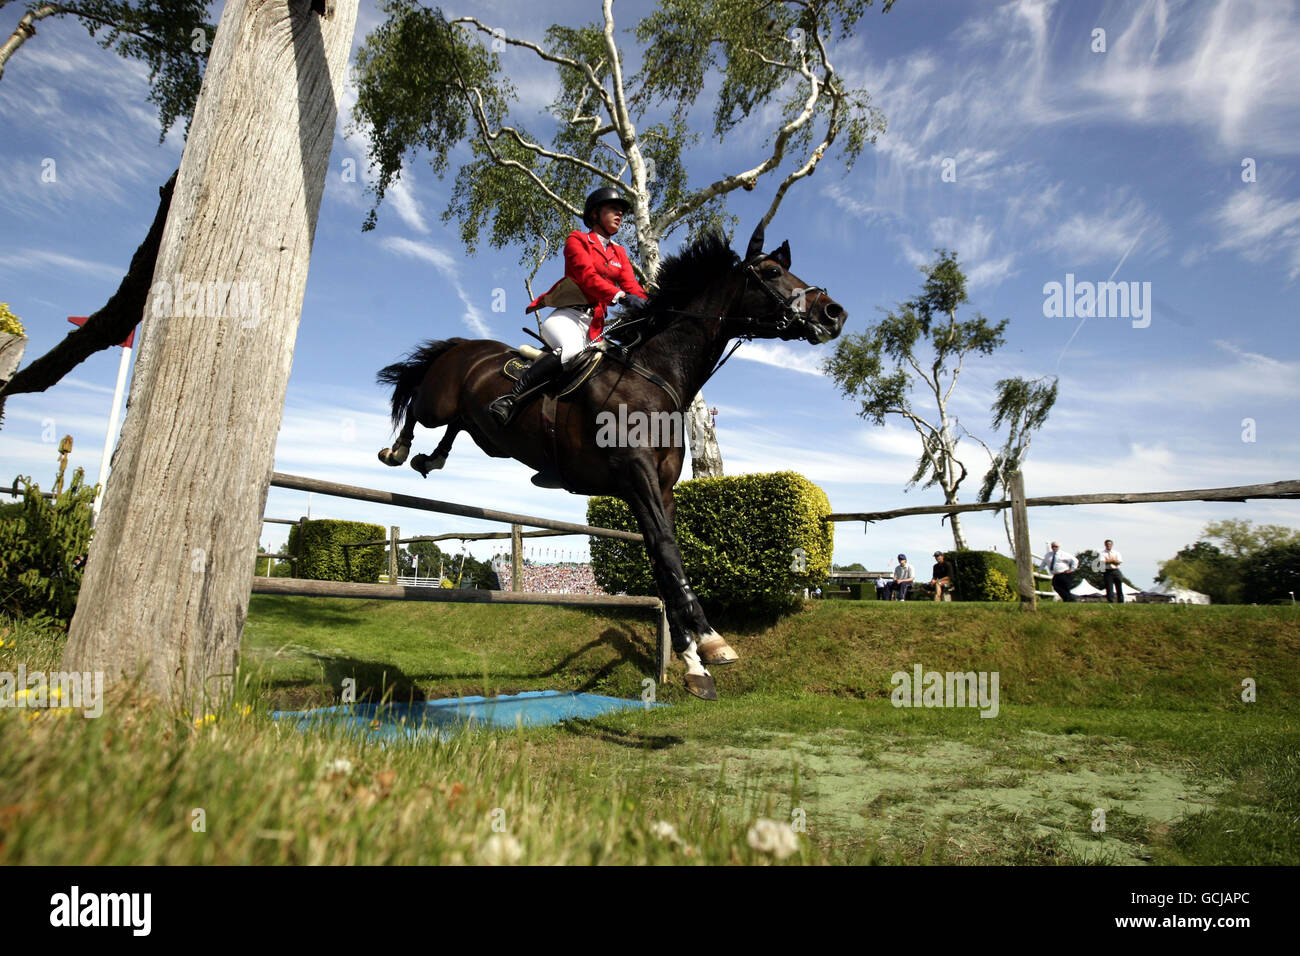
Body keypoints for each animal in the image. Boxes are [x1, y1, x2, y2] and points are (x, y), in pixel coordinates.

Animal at [375, 222, 846, 700]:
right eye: (770, 272)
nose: (835, 313)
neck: (656, 377)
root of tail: (465, 346)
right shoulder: (636, 476)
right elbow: (666, 550)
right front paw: (712, 640)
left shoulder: (660, 488)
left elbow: (663, 559)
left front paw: (693, 660)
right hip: (438, 400)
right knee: (416, 405)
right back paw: (398, 450)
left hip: (485, 433)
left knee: (457, 427)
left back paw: (433, 458)